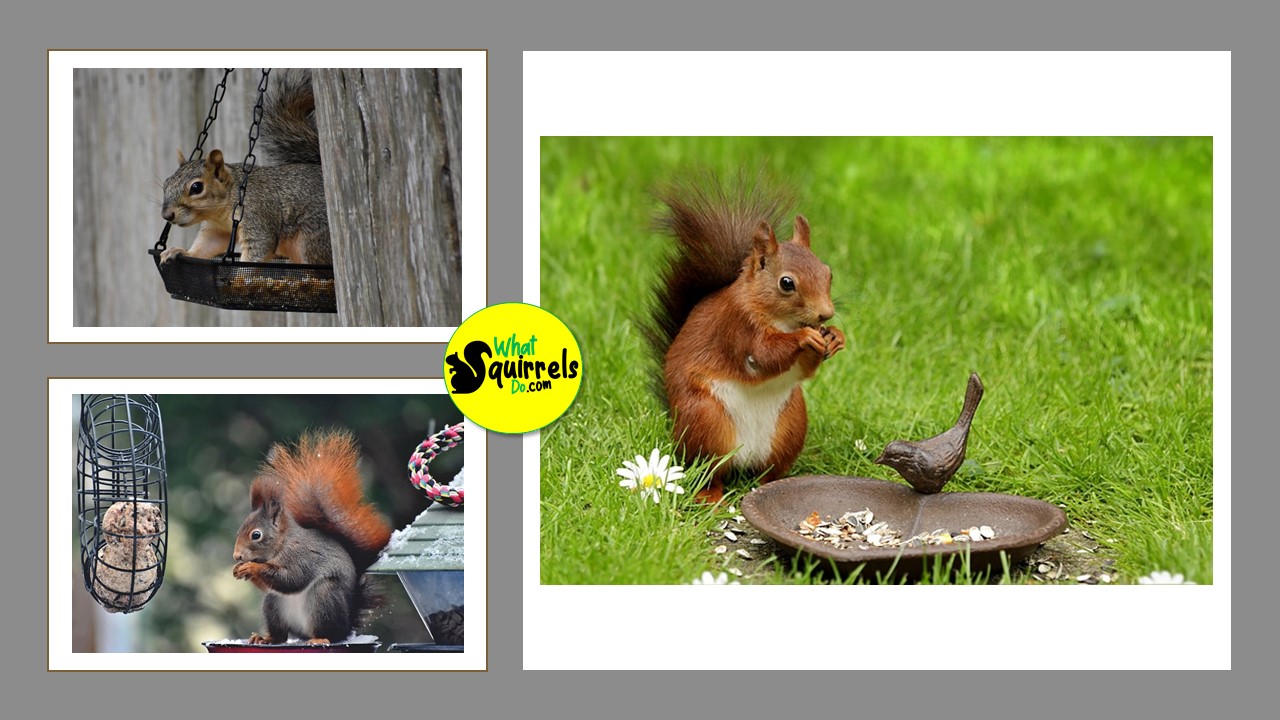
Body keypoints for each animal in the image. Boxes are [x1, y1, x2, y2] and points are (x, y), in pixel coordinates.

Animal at [159, 69, 331, 266]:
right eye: (166, 183)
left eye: (197, 187)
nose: (166, 215)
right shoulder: (216, 230)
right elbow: (205, 246)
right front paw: (180, 251)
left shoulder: (256, 213)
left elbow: (259, 246)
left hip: (312, 239)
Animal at [232, 430, 392, 645]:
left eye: (256, 535)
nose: (237, 556)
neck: (282, 544)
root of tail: (347, 624)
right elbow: (272, 585)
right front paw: (238, 569)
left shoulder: (303, 556)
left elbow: (292, 579)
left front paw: (251, 567)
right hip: (272, 605)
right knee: (280, 634)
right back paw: (266, 638)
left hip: (325, 597)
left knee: (331, 632)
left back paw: (321, 639)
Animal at [644, 174, 846, 504]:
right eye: (786, 283)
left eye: (828, 273)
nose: (826, 314)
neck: (782, 320)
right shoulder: (737, 327)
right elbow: (764, 355)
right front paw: (805, 337)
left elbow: (803, 370)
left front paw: (836, 337)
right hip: (707, 422)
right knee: (708, 470)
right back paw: (710, 497)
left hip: (790, 425)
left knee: (768, 471)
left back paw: (773, 484)